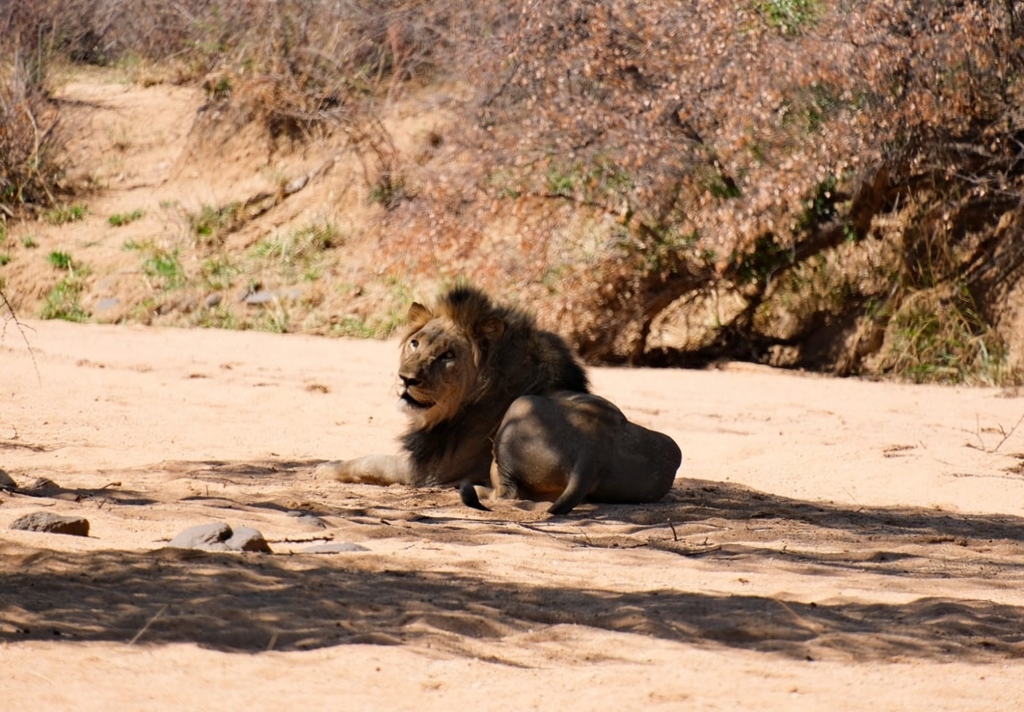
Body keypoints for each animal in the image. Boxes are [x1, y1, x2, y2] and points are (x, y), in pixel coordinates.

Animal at [316, 284, 589, 487]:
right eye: (415, 343)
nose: (406, 378)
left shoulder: (429, 472)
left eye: (448, 356)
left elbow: (370, 462)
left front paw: (326, 467)